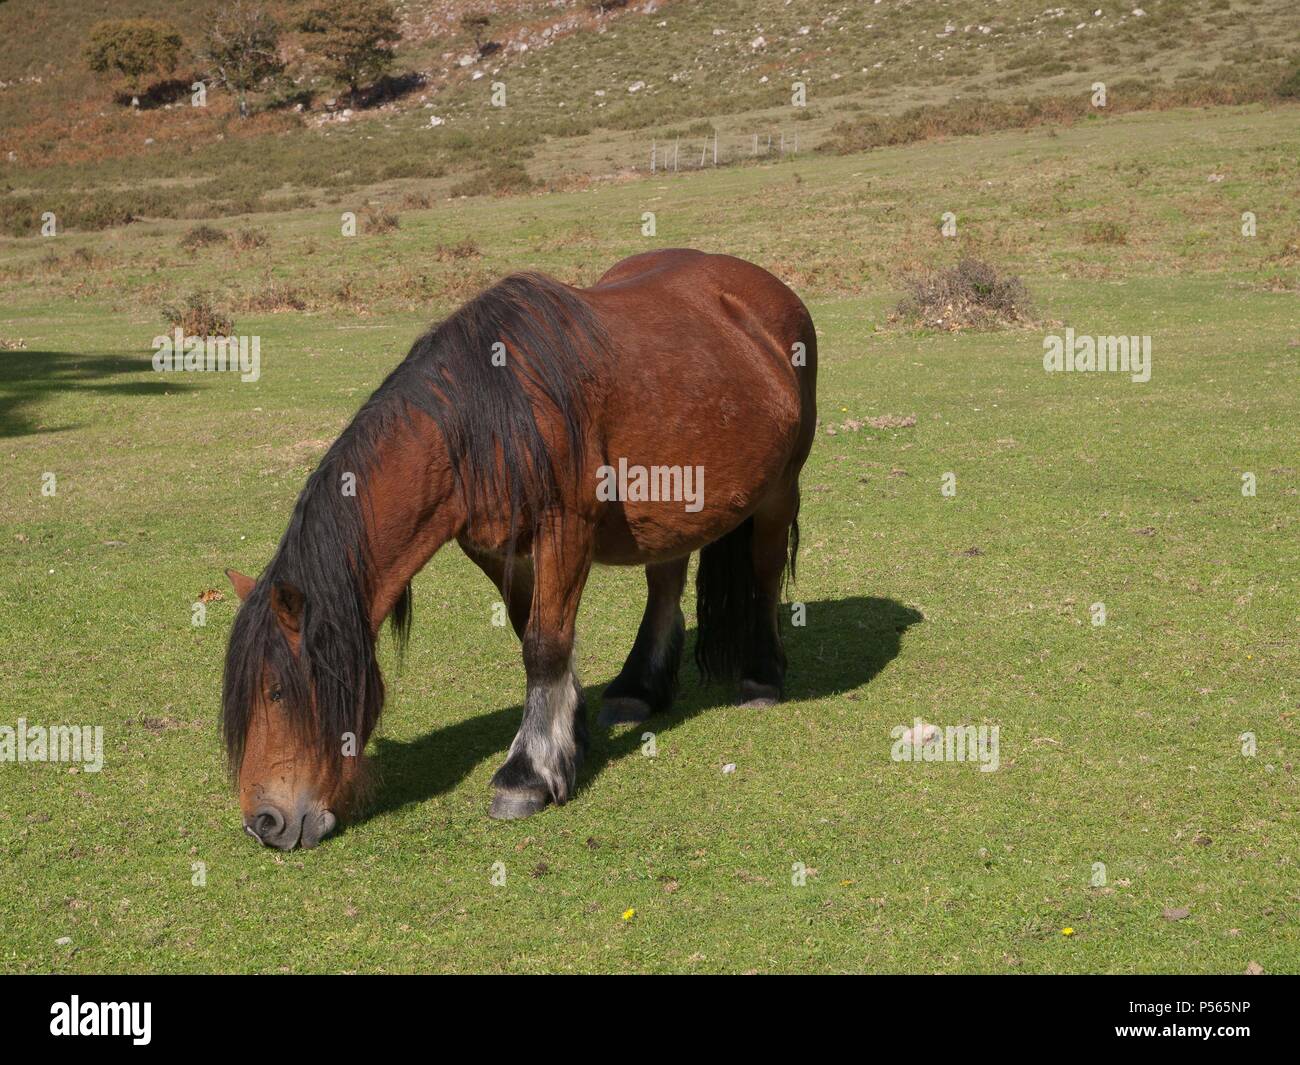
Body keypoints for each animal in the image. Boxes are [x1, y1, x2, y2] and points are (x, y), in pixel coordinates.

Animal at [222, 248, 818, 849]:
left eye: (277, 692)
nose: (263, 823)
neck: (484, 417)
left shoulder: (566, 528)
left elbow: (544, 645)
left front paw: (526, 775)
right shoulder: (493, 548)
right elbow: (527, 628)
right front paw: (569, 737)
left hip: (780, 490)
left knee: (764, 573)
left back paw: (762, 676)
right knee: (665, 584)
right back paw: (638, 690)